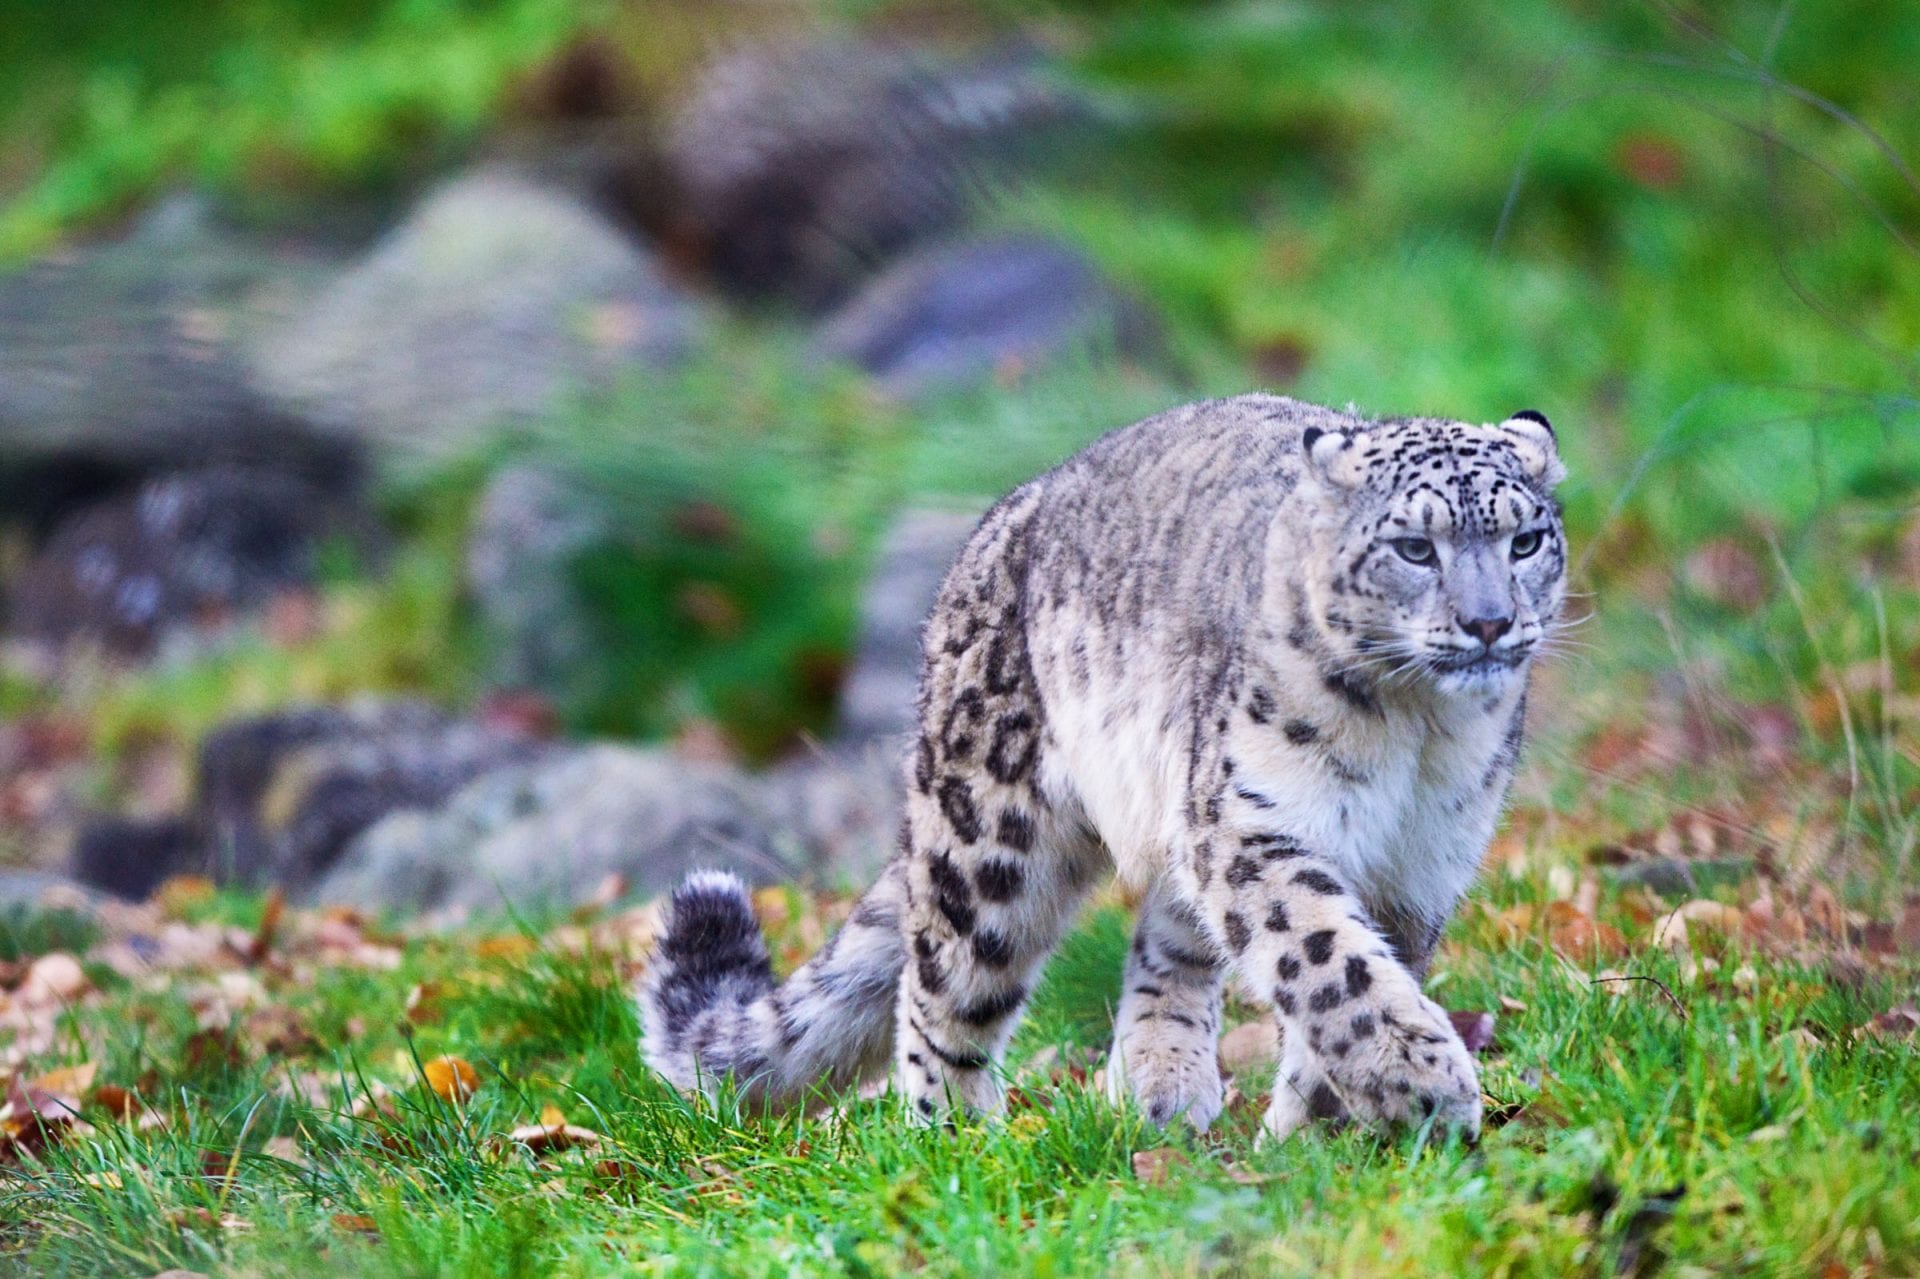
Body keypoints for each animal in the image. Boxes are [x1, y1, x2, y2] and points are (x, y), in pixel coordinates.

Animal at [638, 393, 1568, 1142]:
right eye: (1415, 547)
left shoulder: (1421, 862)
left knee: (1166, 939)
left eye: (1525, 540)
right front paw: (1423, 1084)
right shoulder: (1258, 823)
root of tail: (1003, 516)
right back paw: (959, 1138)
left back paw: (1158, 1087)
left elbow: (1360, 969)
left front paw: (1324, 1129)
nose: (1489, 621)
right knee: (941, 982)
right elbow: (1326, 958)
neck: (1419, 733)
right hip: (993, 835)